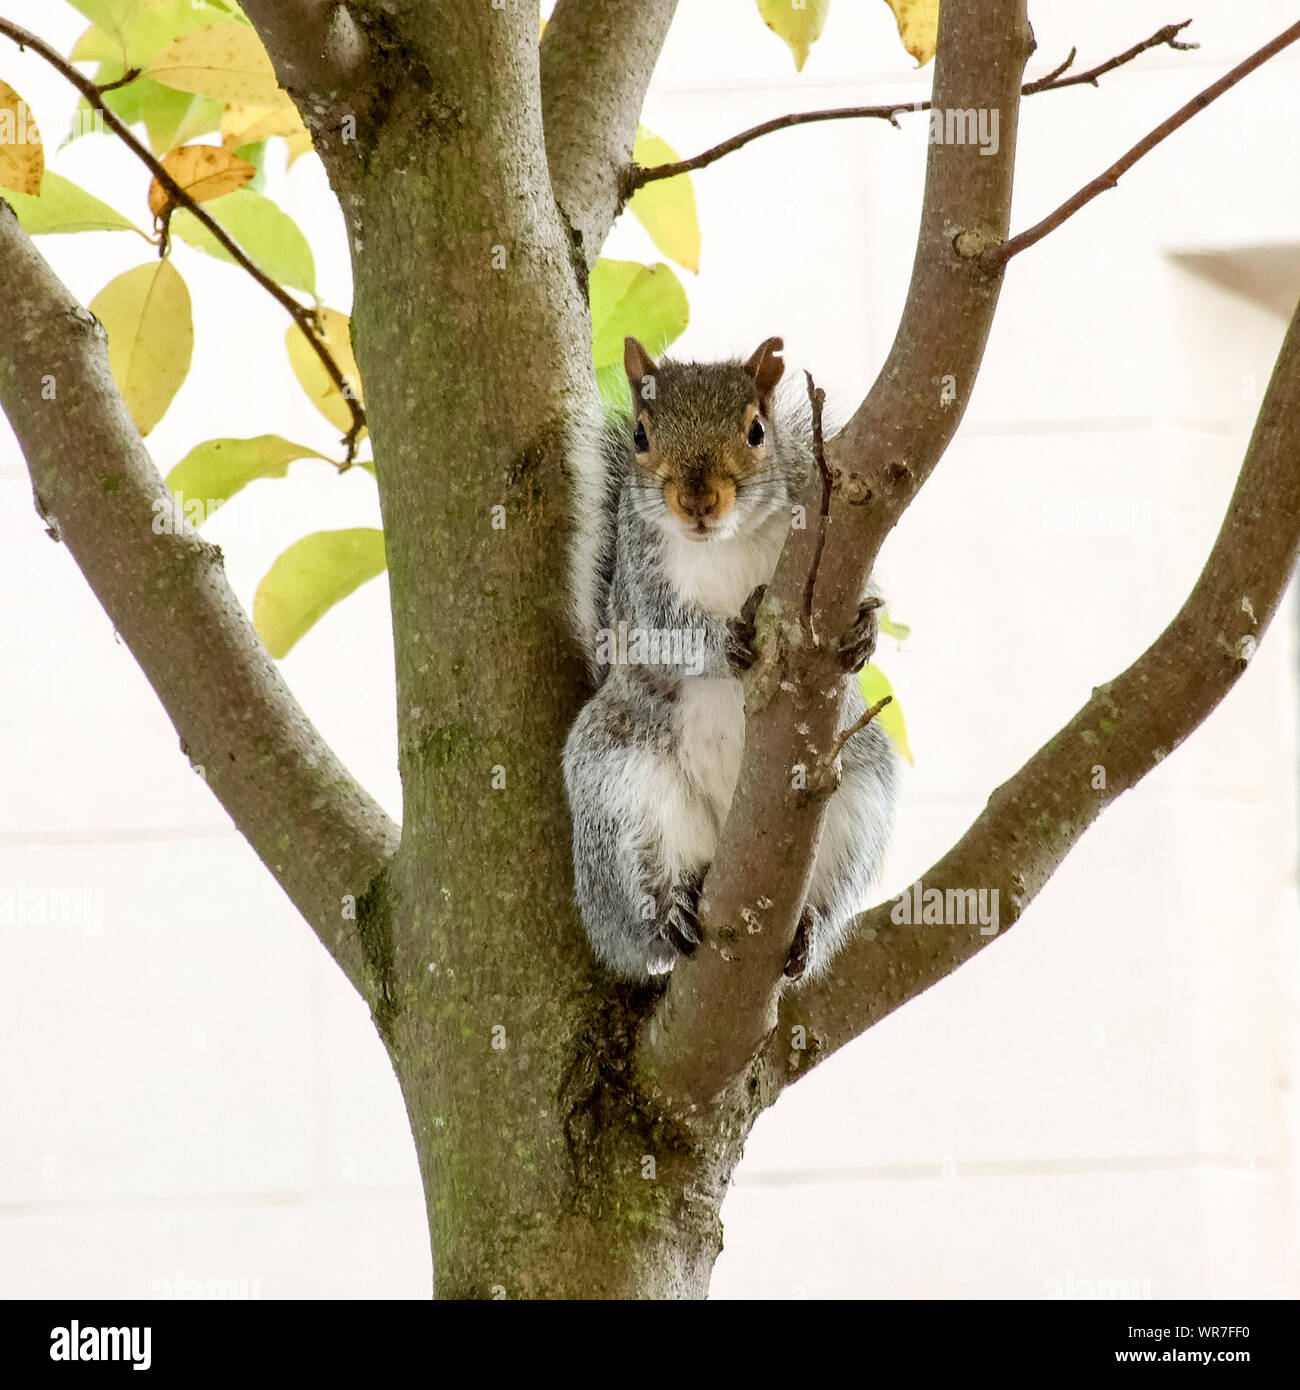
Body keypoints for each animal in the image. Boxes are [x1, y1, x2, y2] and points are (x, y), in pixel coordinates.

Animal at [562, 334, 899, 982]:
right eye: (640, 436)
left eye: (757, 431)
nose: (698, 500)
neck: (726, 538)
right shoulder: (639, 585)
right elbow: (661, 631)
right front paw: (728, 638)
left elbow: (866, 597)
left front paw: (865, 630)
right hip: (616, 788)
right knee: (638, 907)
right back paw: (669, 916)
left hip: (862, 799)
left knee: (831, 896)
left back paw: (808, 929)